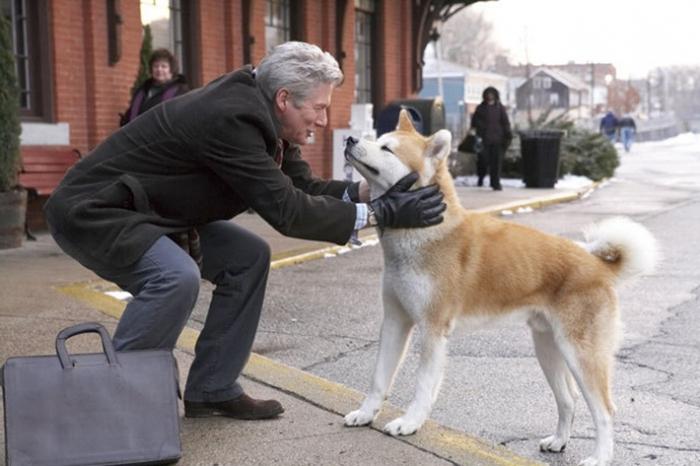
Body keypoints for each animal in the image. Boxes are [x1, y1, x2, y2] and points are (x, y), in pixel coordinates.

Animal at [342, 110, 660, 466]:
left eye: (387, 148)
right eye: (378, 139)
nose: (350, 139)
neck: (423, 232)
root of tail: (598, 265)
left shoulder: (433, 330)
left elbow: (422, 386)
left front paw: (410, 423)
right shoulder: (396, 321)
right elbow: (378, 378)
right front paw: (366, 413)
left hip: (581, 354)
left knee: (605, 410)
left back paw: (599, 457)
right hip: (548, 349)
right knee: (568, 400)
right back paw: (558, 441)